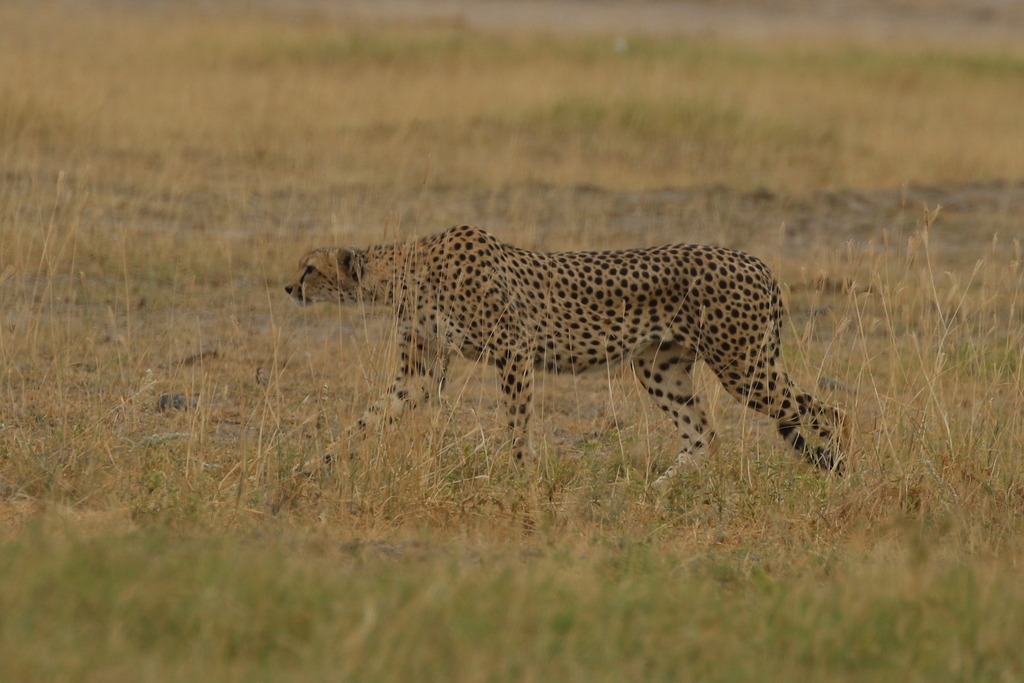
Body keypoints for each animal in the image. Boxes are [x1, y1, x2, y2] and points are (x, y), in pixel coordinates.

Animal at [285, 225, 848, 487]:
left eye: (310, 267)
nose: (289, 287)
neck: (406, 270)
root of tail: (757, 261)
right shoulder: (418, 377)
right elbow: (366, 420)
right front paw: (315, 464)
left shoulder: (514, 349)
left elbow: (516, 424)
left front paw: (517, 476)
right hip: (659, 366)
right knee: (703, 436)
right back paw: (656, 489)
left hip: (743, 366)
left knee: (829, 410)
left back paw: (842, 472)